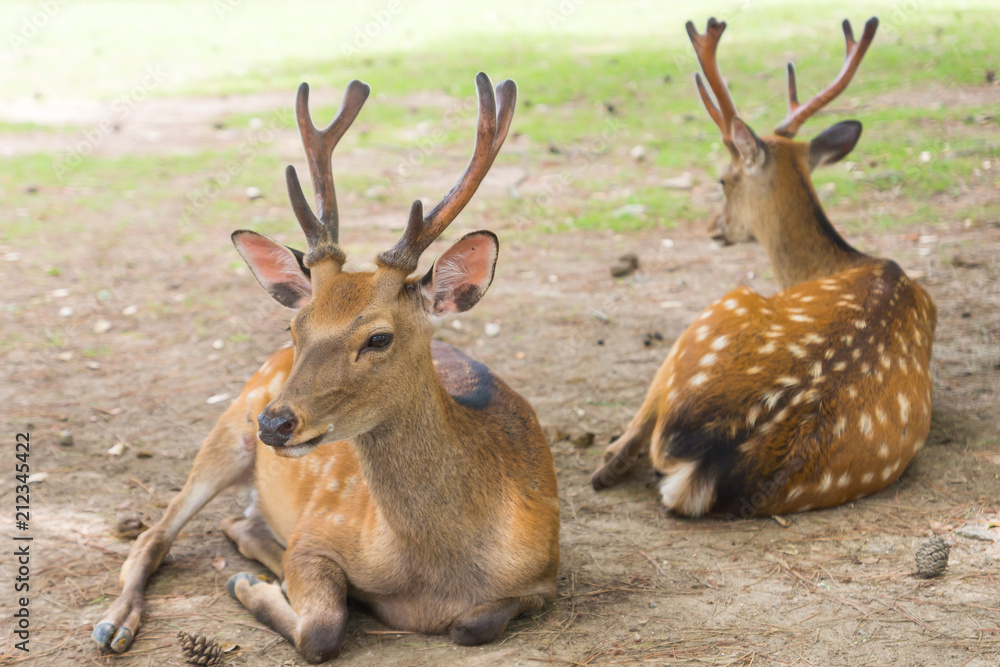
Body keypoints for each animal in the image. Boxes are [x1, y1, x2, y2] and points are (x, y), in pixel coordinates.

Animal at [92, 73, 560, 664]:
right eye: (294, 327)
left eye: (379, 337)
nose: (275, 424)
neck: (433, 573)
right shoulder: (317, 532)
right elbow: (320, 630)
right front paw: (250, 587)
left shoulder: (545, 575)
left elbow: (474, 624)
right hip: (226, 429)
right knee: (155, 534)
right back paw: (114, 625)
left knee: (233, 522)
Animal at [591, 17, 937, 518]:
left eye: (723, 180)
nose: (713, 227)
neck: (840, 262)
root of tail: (720, 453)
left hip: (717, 310)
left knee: (631, 439)